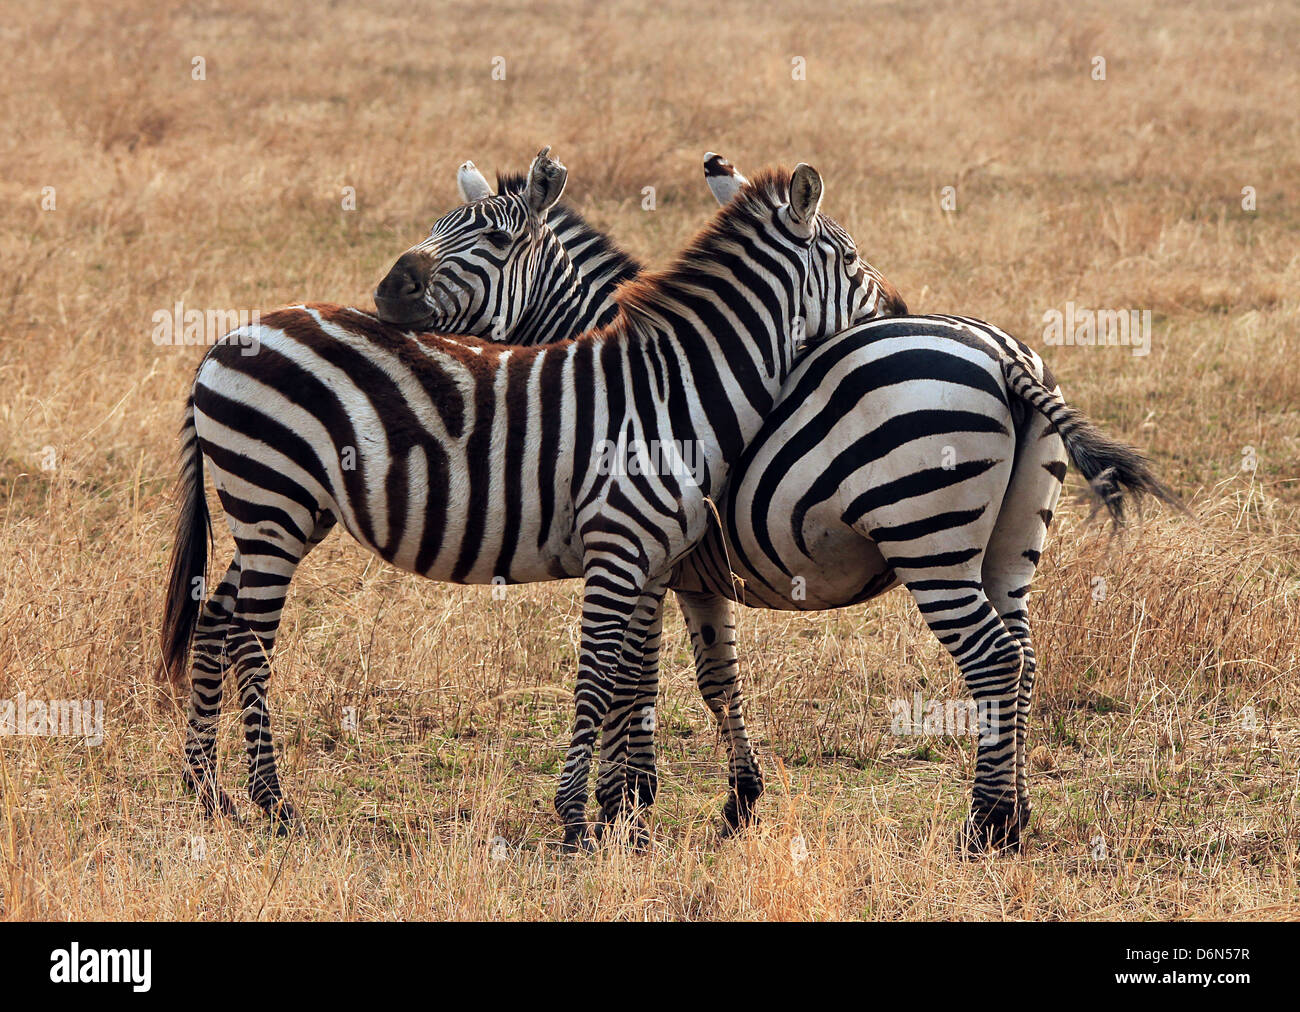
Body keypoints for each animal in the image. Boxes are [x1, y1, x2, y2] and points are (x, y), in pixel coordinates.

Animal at [159, 148, 900, 850]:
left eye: (491, 236)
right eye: (852, 258)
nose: (899, 314)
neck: (675, 387)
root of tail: (227, 340)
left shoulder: (659, 558)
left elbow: (657, 676)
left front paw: (632, 810)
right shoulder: (624, 547)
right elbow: (608, 675)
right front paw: (595, 814)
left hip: (281, 511)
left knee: (217, 615)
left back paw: (209, 790)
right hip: (273, 501)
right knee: (251, 638)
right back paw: (272, 803)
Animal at [594, 155, 1182, 851]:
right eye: (852, 261)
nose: (898, 307)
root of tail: (1005, 357)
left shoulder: (645, 556)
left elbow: (631, 677)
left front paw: (623, 806)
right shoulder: (693, 572)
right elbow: (714, 677)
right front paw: (733, 801)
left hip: (928, 536)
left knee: (993, 658)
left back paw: (985, 825)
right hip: (1013, 543)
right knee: (1023, 655)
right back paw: (1016, 814)